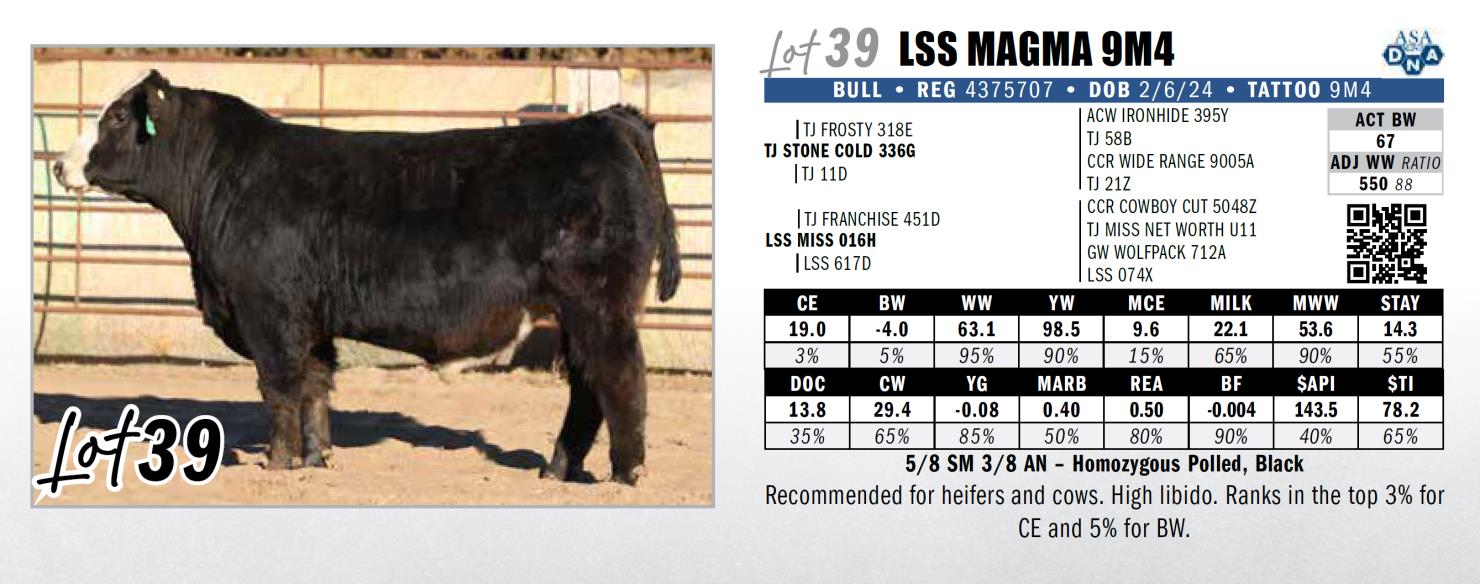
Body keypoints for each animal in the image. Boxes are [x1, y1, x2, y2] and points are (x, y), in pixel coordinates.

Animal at [53, 70, 682, 485]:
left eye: (116, 116)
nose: (58, 165)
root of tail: (602, 122)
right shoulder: (309, 318)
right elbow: (314, 384)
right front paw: (315, 459)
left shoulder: (268, 310)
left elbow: (279, 385)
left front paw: (277, 462)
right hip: (578, 311)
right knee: (588, 385)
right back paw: (558, 469)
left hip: (598, 302)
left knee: (621, 377)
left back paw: (625, 473)